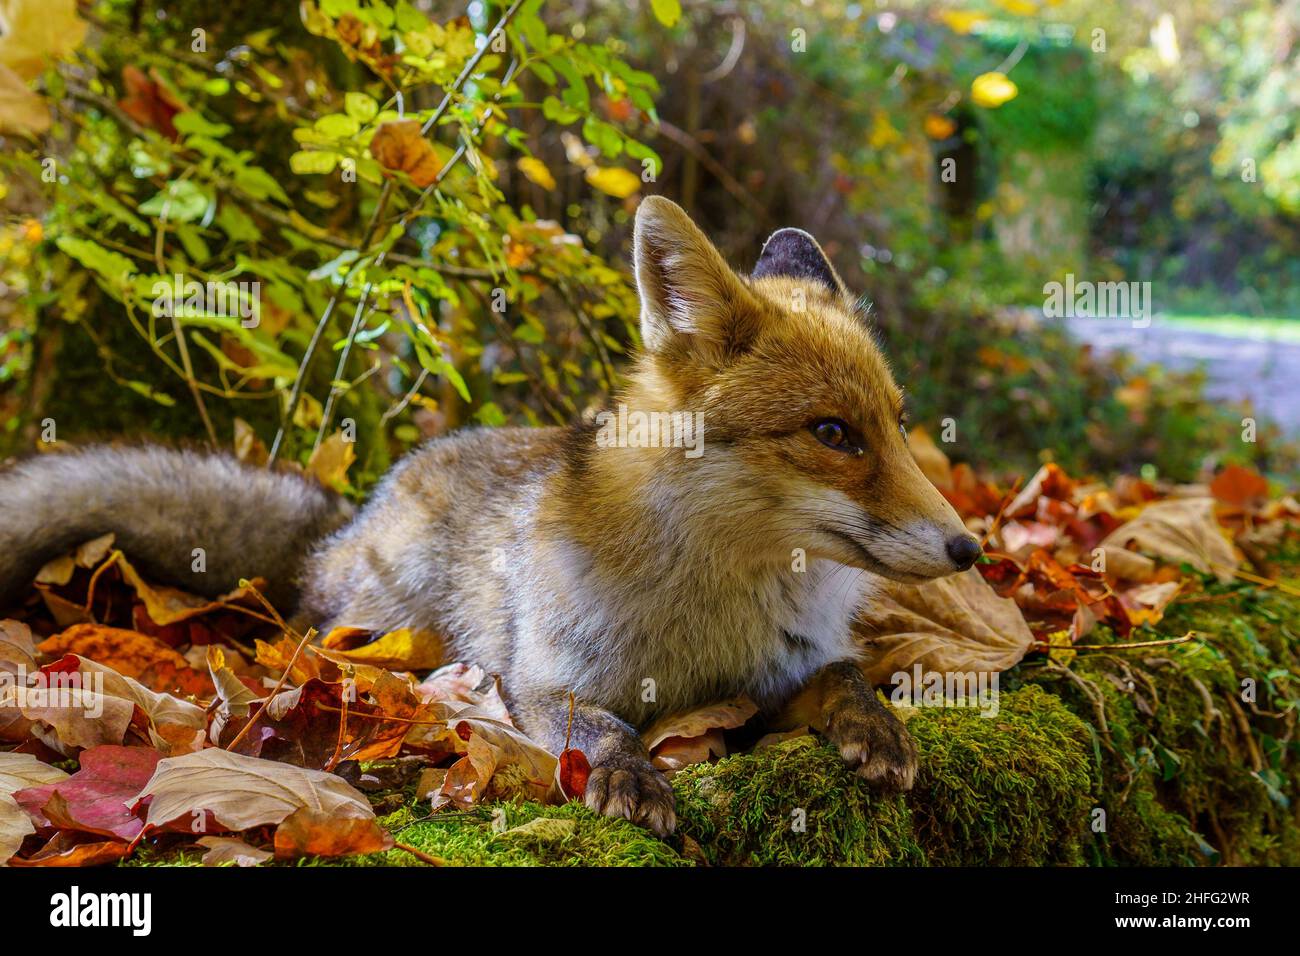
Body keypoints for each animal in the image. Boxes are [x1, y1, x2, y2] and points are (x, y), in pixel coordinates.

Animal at [0, 197, 981, 836]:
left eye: (898, 424)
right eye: (832, 433)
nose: (970, 547)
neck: (714, 612)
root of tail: (357, 512)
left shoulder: (784, 669)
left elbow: (846, 676)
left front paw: (876, 727)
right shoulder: (541, 677)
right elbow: (602, 727)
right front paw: (628, 776)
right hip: (387, 622)